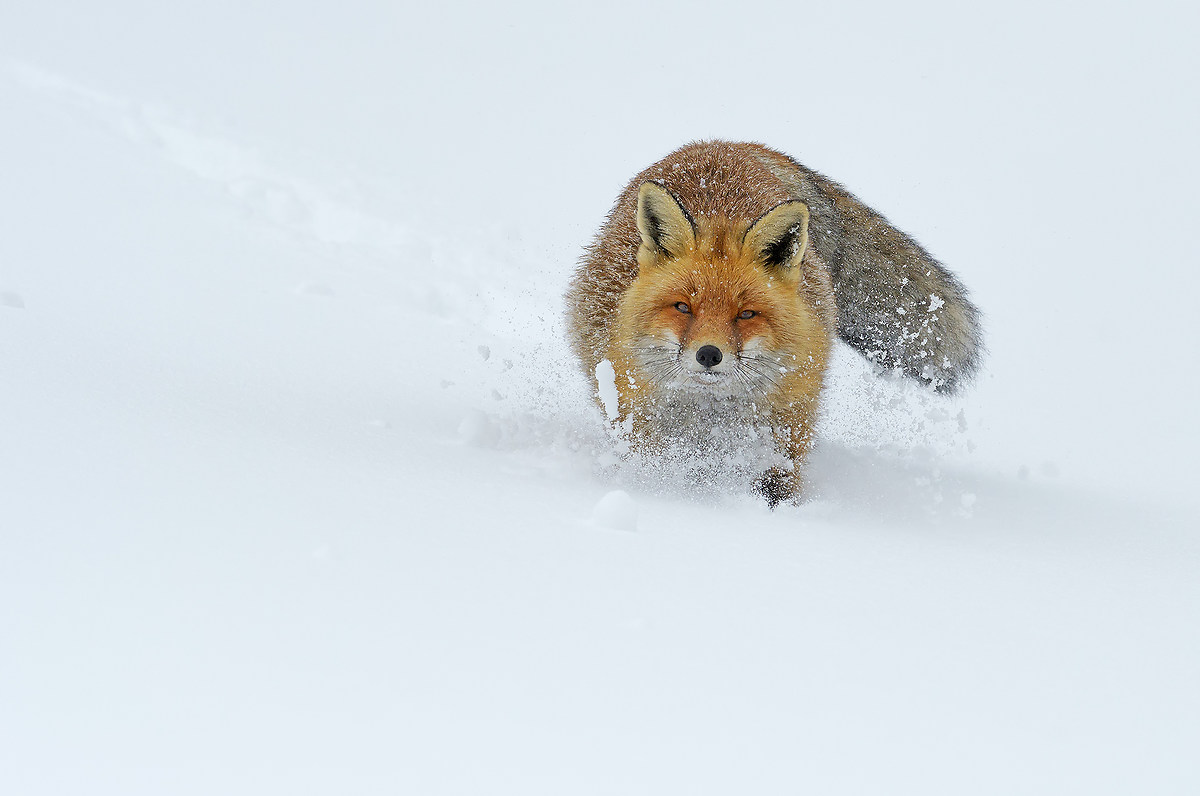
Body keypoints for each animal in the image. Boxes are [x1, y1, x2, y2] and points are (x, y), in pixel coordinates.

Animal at [565, 141, 983, 506]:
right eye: (683, 307)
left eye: (746, 313)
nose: (708, 355)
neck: (708, 410)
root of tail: (726, 142)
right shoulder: (637, 418)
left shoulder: (790, 417)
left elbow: (776, 480)